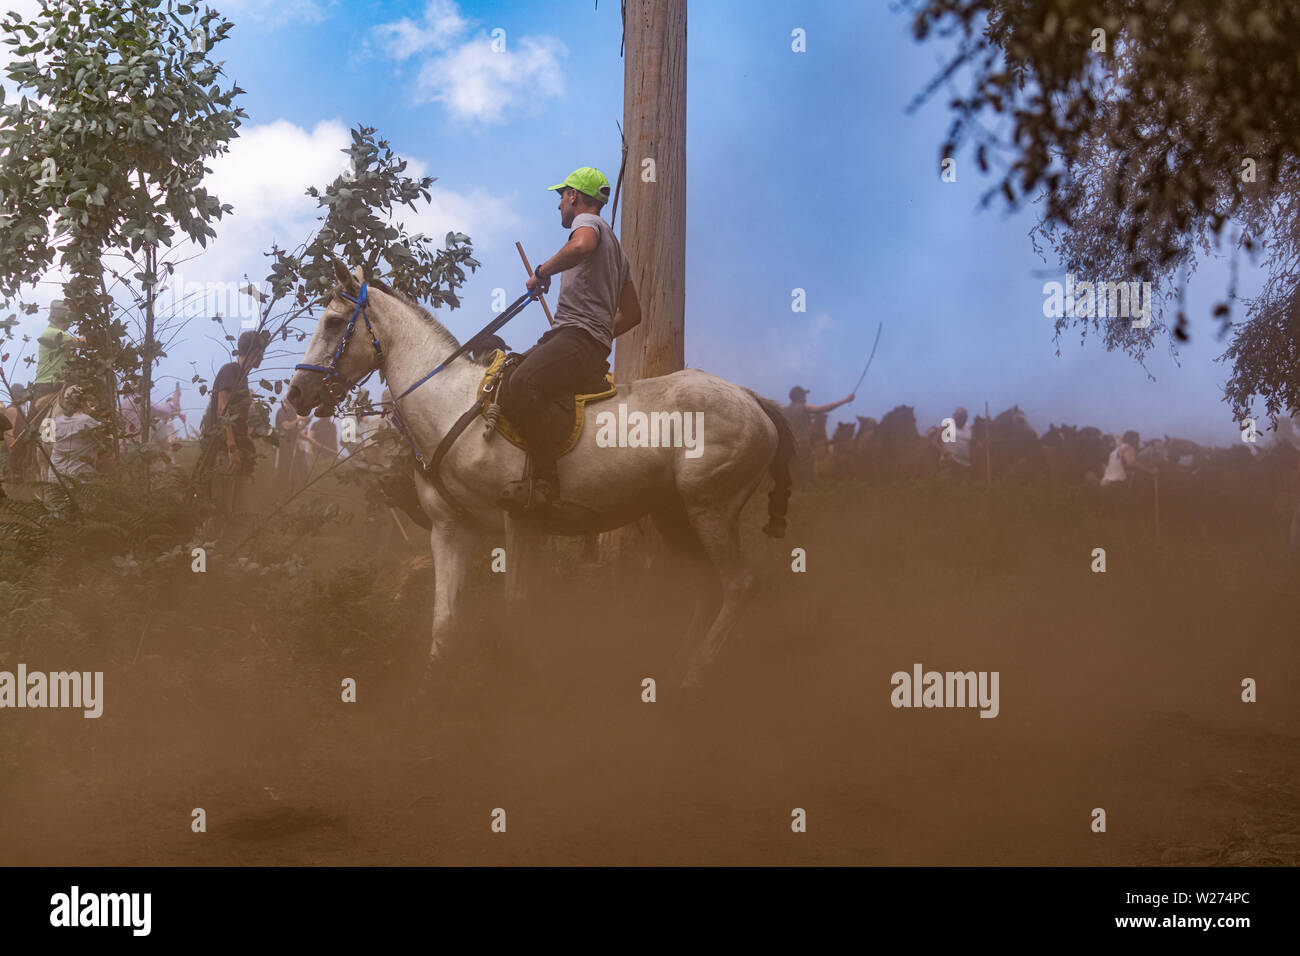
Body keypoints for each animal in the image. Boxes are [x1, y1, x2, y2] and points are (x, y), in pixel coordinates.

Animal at [287, 260, 795, 689]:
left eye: (334, 322)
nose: (295, 394)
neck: (450, 405)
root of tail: (753, 400)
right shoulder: (450, 529)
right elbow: (445, 618)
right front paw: (430, 692)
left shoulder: (520, 522)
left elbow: (518, 603)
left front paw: (535, 675)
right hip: (674, 515)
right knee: (708, 587)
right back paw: (676, 668)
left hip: (711, 509)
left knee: (739, 585)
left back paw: (695, 674)